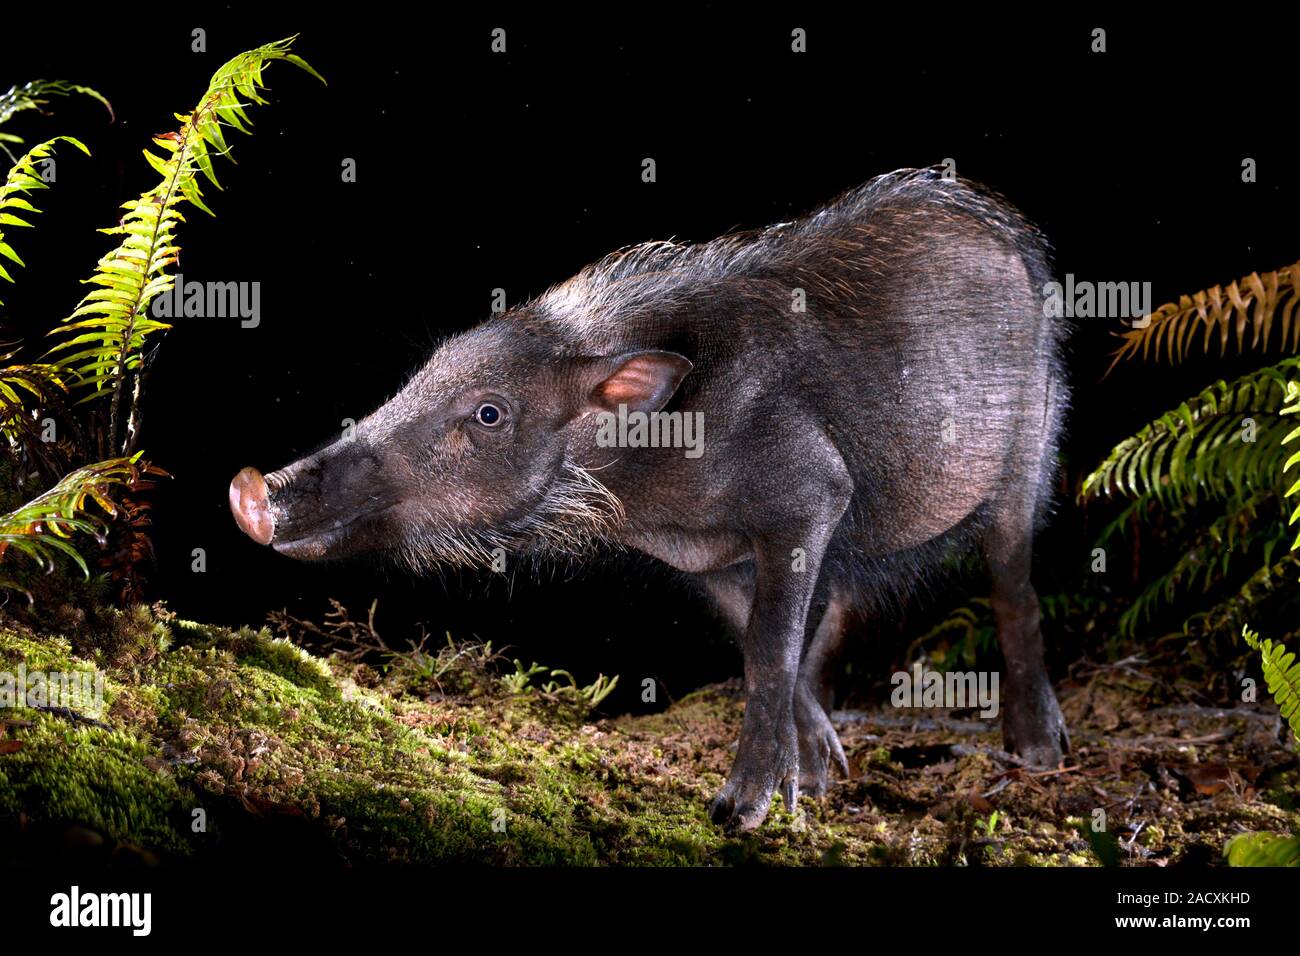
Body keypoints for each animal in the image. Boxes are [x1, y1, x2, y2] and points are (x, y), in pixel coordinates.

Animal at [230, 167, 1070, 831]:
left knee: (1014, 583)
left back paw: (1037, 757)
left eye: (490, 413)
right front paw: (813, 785)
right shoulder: (707, 559)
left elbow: (768, 648)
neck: (647, 492)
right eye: (415, 382)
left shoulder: (812, 493)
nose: (249, 491)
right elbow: (764, 642)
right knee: (845, 613)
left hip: (1030, 445)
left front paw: (741, 814)